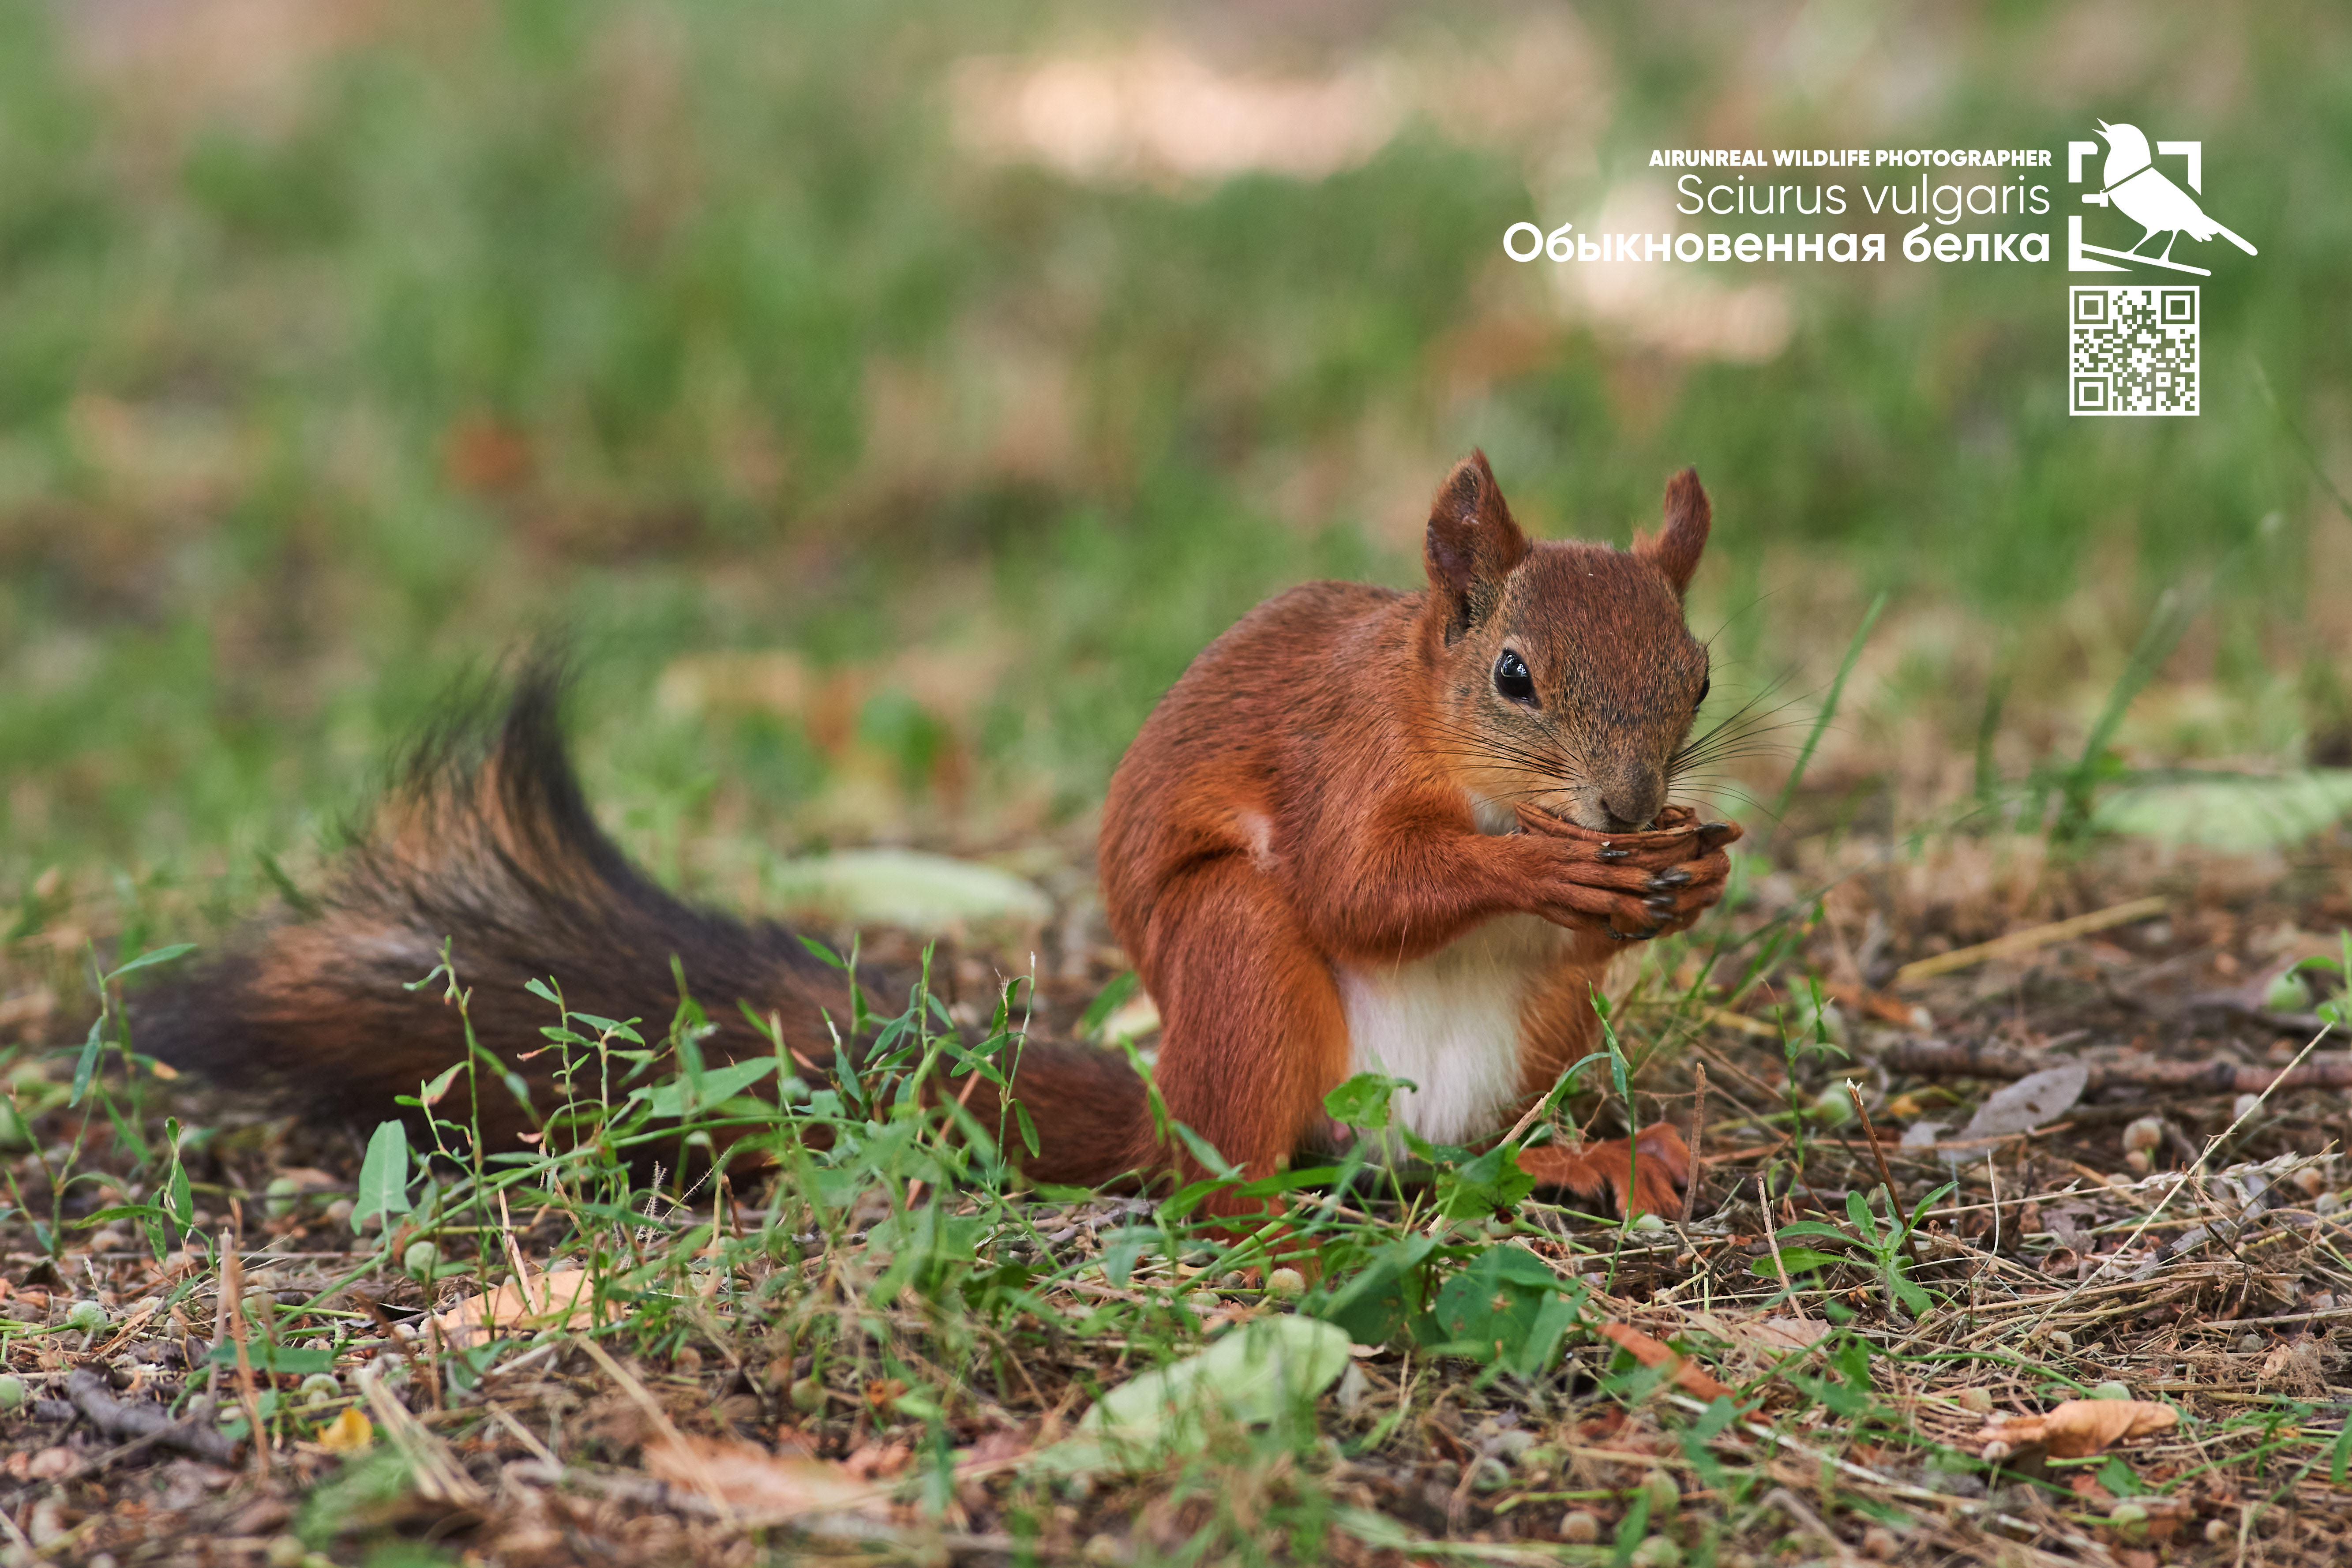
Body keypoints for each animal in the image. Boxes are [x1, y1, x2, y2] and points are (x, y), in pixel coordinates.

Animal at [142, 454, 1731, 1222]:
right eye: (1514, 676)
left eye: (1700, 674)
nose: (1628, 806)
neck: (1438, 727)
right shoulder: (1338, 755)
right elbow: (1358, 880)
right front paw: (1537, 866)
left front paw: (1695, 867)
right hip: (1240, 969)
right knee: (1231, 1160)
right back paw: (1270, 1224)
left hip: (1537, 1032)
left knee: (1472, 1156)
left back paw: (1582, 1159)